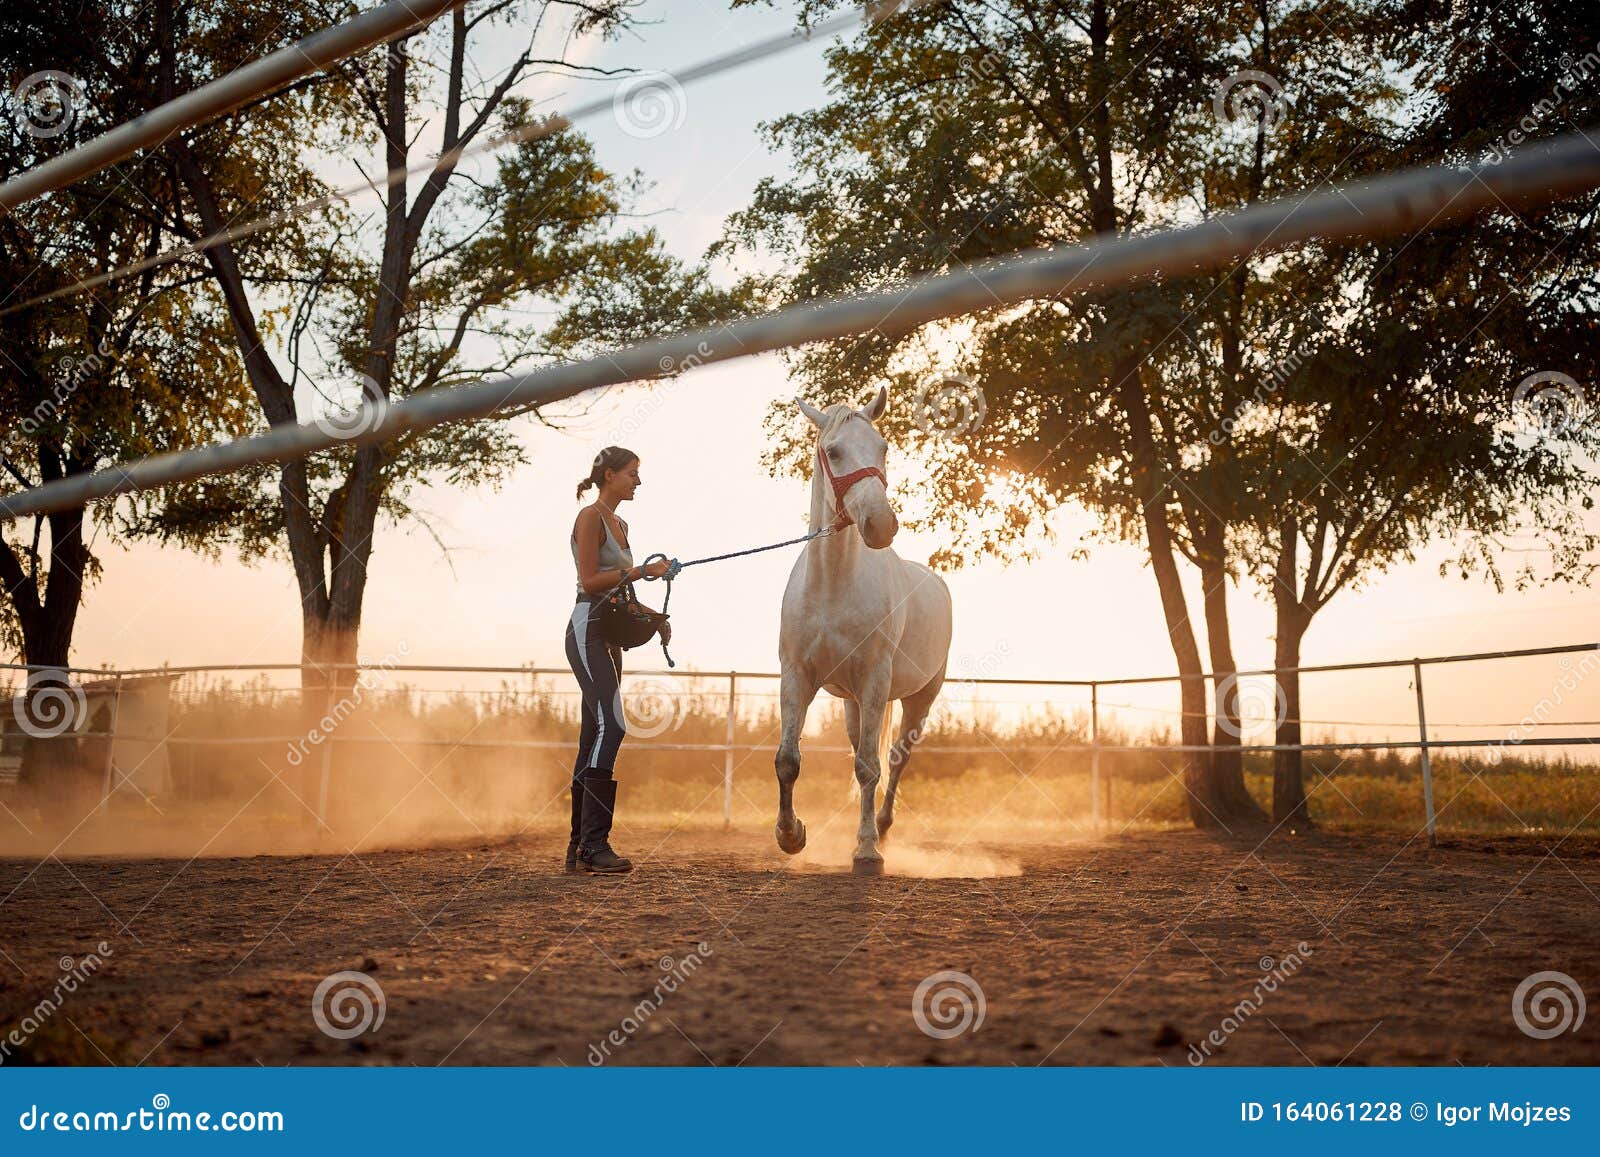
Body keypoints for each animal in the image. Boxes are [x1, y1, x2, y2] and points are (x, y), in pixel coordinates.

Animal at [774, 386, 954, 875]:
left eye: (883, 448)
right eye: (834, 452)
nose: (881, 525)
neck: (833, 586)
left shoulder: (875, 680)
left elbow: (871, 768)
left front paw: (868, 851)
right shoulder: (796, 676)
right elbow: (788, 760)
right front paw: (790, 835)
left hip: (918, 698)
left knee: (895, 759)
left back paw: (883, 826)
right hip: (853, 702)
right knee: (861, 750)